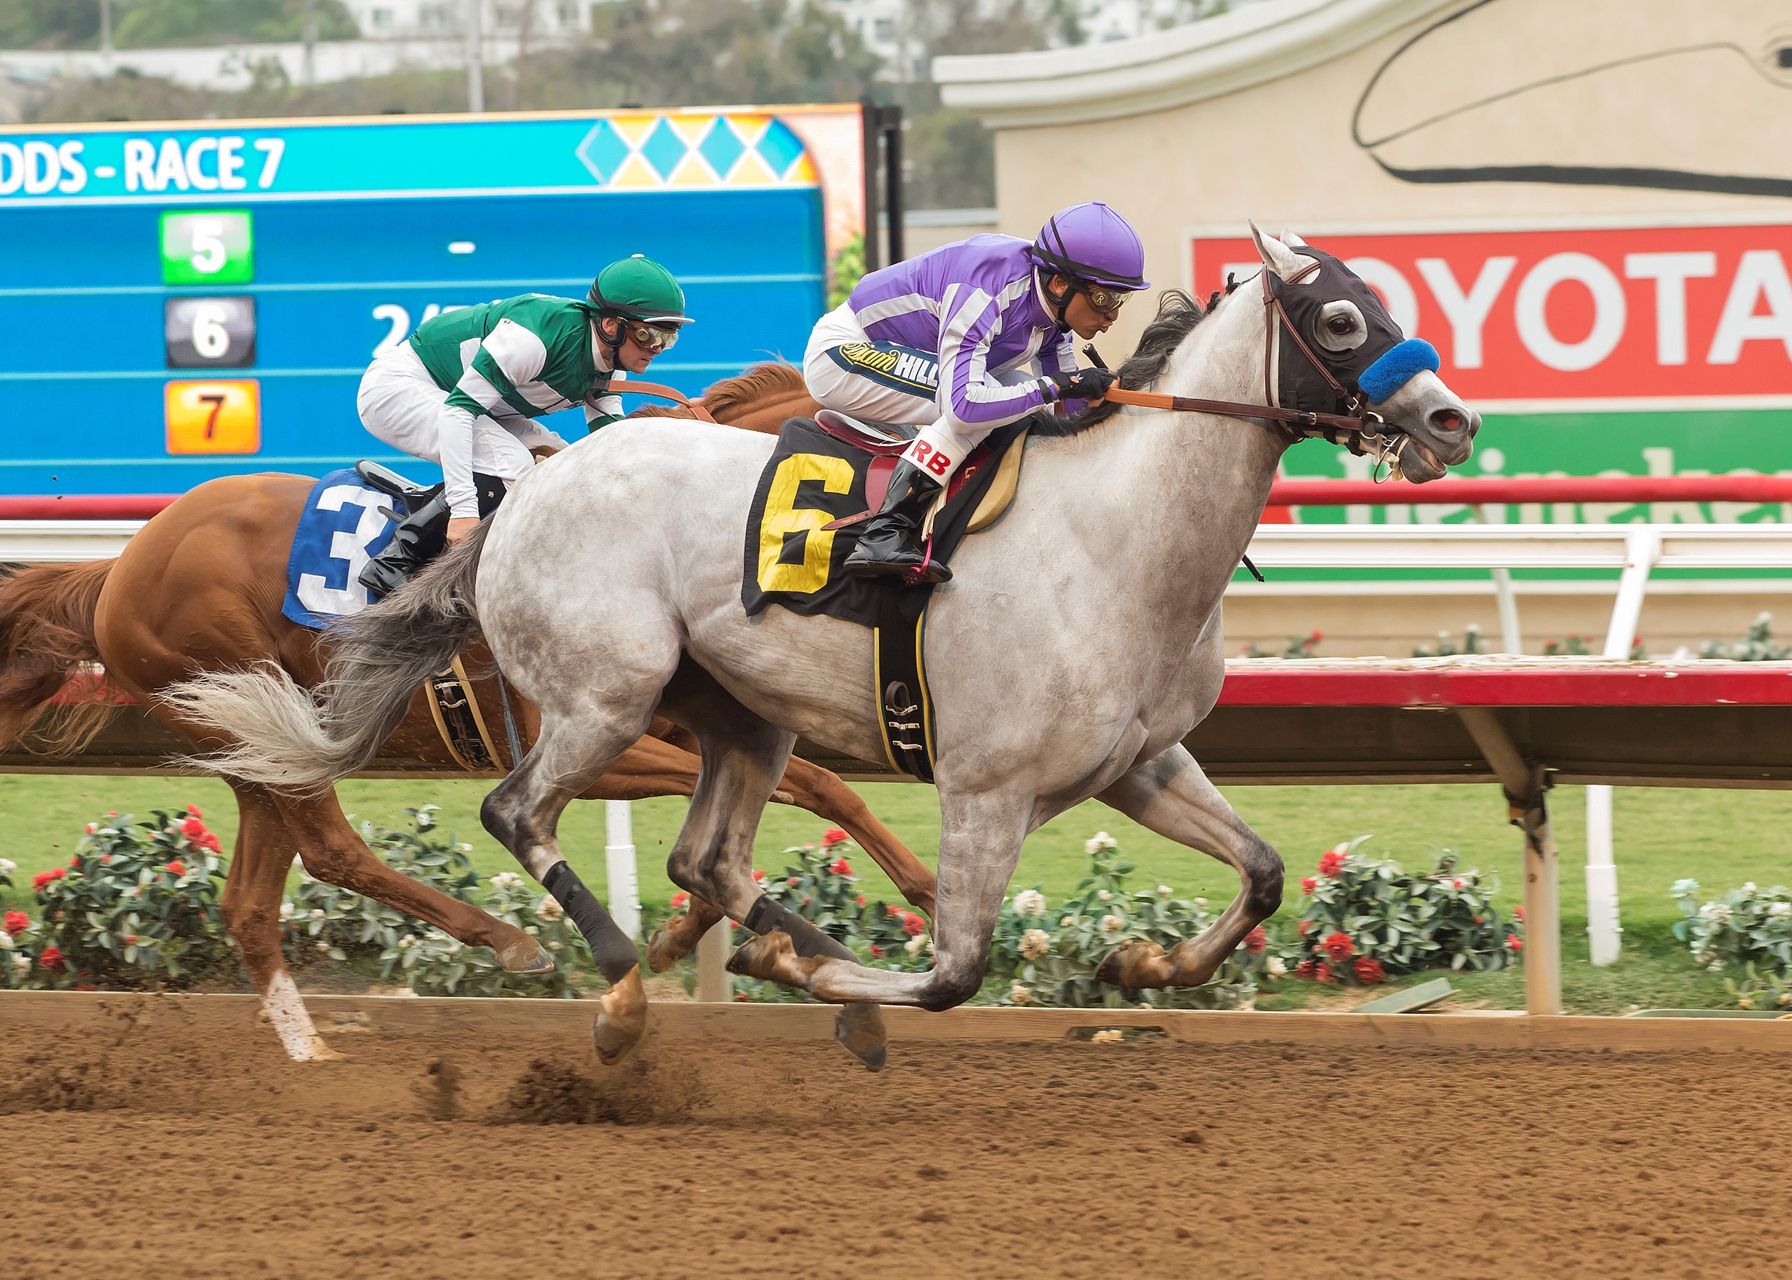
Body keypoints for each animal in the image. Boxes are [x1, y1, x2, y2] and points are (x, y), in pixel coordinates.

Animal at [0, 362, 944, 1063]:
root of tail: (119, 569)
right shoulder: (597, 737)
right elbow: (811, 788)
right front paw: (917, 898)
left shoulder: (694, 731)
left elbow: (800, 800)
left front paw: (698, 939)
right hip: (251, 708)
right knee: (334, 851)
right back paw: (507, 943)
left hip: (255, 746)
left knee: (253, 903)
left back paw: (313, 1056)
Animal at [165, 229, 1481, 1071]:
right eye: (1342, 316)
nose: (1450, 418)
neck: (1120, 534)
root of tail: (526, 490)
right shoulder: (986, 785)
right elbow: (952, 969)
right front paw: (829, 982)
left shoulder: (1141, 763)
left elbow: (1260, 871)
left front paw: (1138, 965)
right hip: (605, 696)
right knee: (519, 812)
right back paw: (625, 985)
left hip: (743, 712)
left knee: (706, 857)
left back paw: (777, 960)